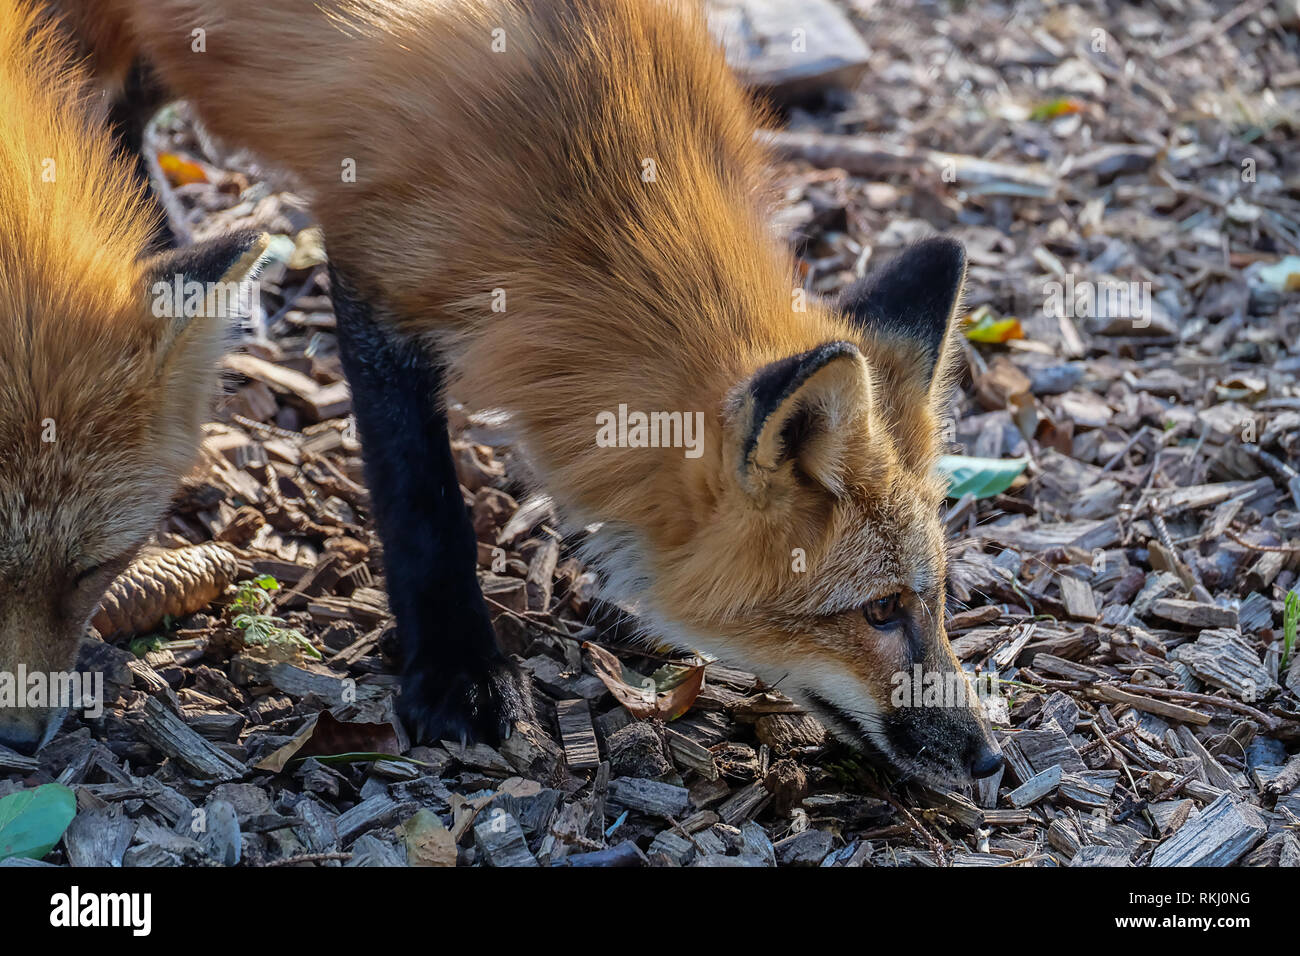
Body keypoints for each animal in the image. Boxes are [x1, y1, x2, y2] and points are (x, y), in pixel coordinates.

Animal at [84, 0, 1003, 785]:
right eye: (879, 611)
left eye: (939, 600)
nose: (992, 759)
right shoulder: (374, 266)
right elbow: (424, 503)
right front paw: (457, 669)